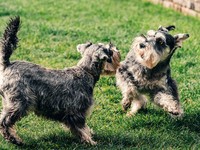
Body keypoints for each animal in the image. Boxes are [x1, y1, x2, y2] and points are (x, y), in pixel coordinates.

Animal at [0, 16, 119, 145]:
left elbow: (82, 128)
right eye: (108, 49)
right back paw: (15, 139)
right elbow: (81, 128)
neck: (86, 71)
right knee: (5, 122)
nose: (115, 48)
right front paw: (89, 141)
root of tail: (7, 64)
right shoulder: (77, 113)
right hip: (20, 103)